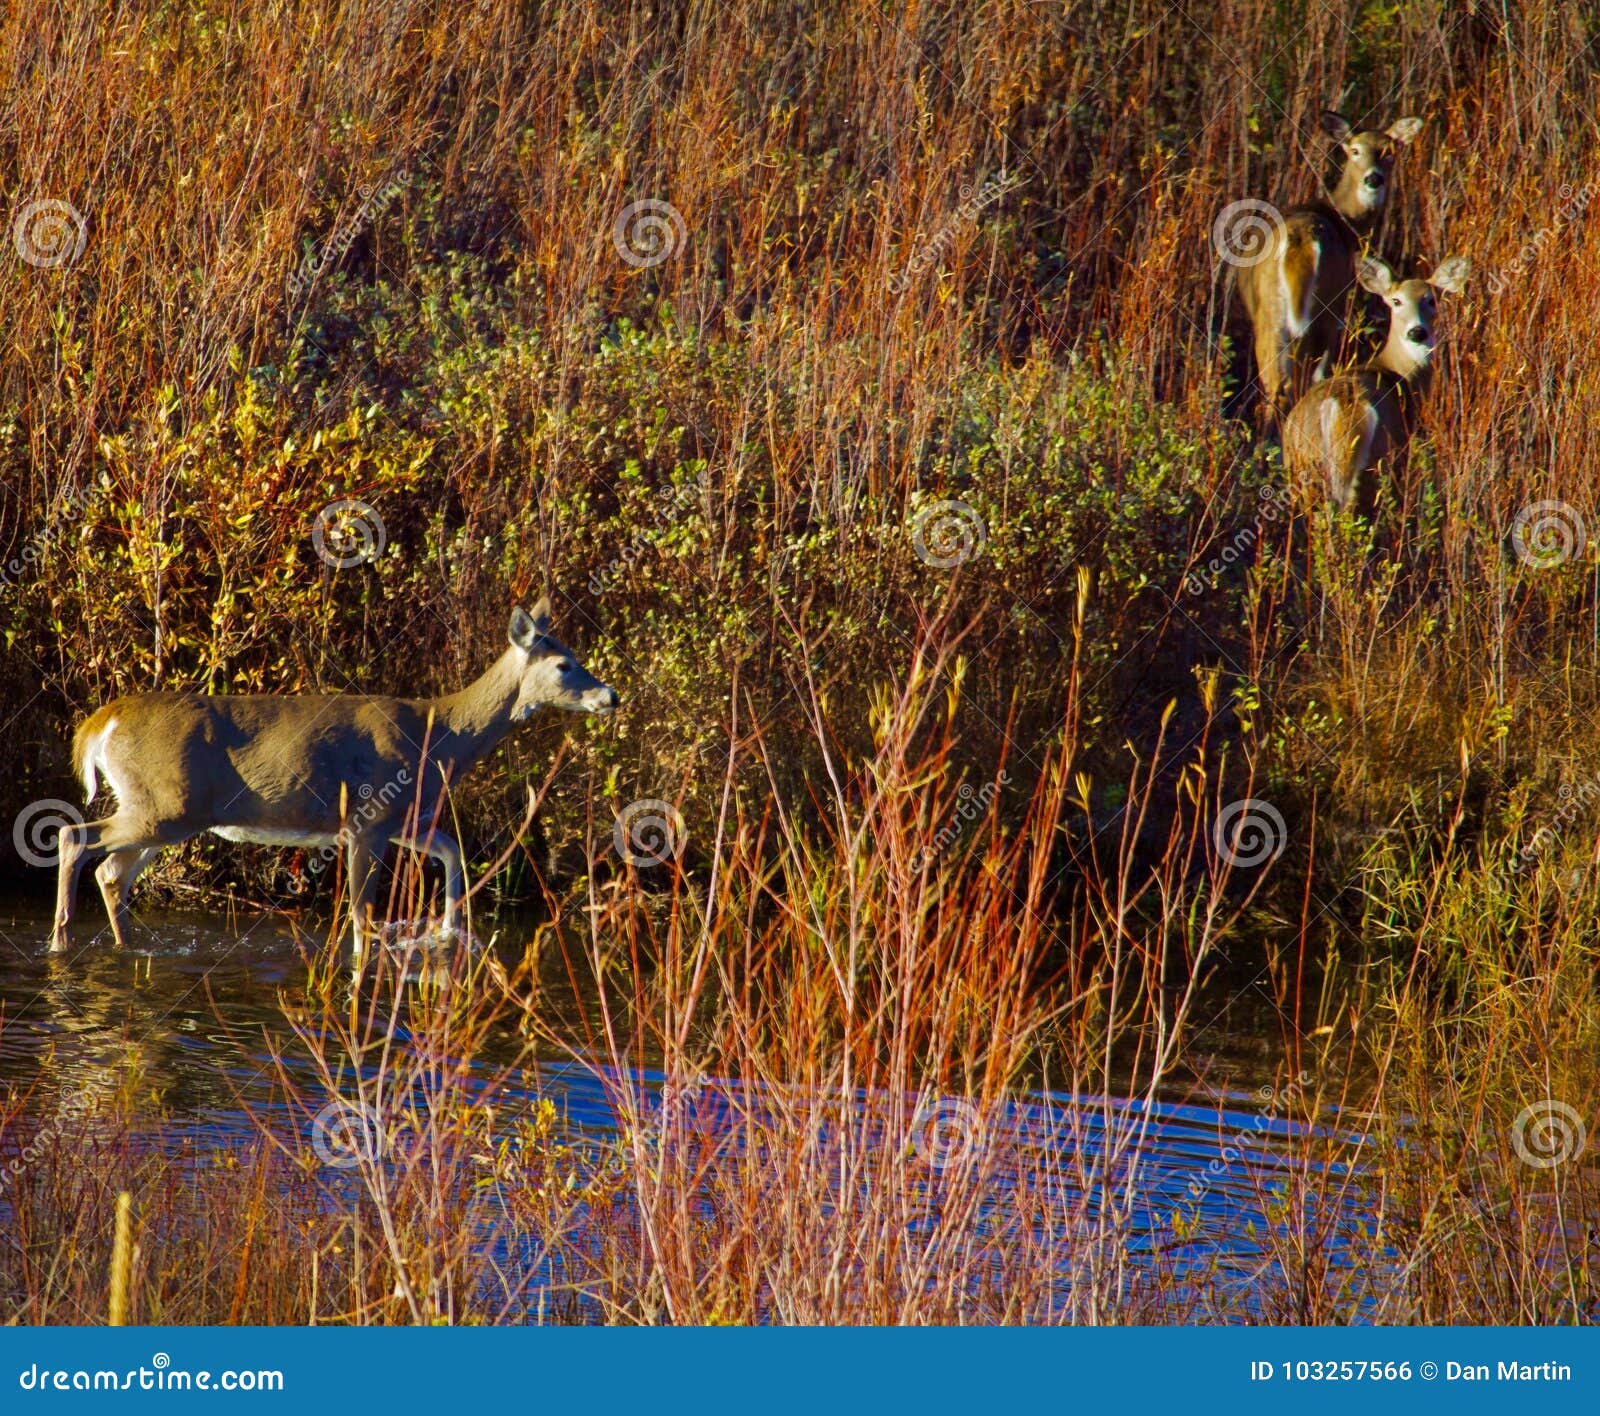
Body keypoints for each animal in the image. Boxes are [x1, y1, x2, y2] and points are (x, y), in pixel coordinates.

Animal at [51, 598, 617, 957]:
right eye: (565, 665)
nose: (608, 695)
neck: (440, 737)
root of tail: (102, 722)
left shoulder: (404, 820)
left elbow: (453, 851)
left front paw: (446, 933)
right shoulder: (367, 818)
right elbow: (362, 916)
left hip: (164, 809)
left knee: (112, 873)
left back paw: (124, 946)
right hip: (165, 805)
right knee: (74, 836)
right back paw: (60, 941)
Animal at [1233, 111, 1423, 418]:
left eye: (1389, 153)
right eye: (1355, 150)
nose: (1374, 179)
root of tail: (1299, 242)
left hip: (1270, 314)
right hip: (1322, 309)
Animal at [1281, 254, 1470, 516]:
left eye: (1431, 300)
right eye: (1396, 301)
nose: (1417, 332)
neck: (1398, 372)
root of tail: (1335, 405)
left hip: (1303, 466)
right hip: (1374, 462)